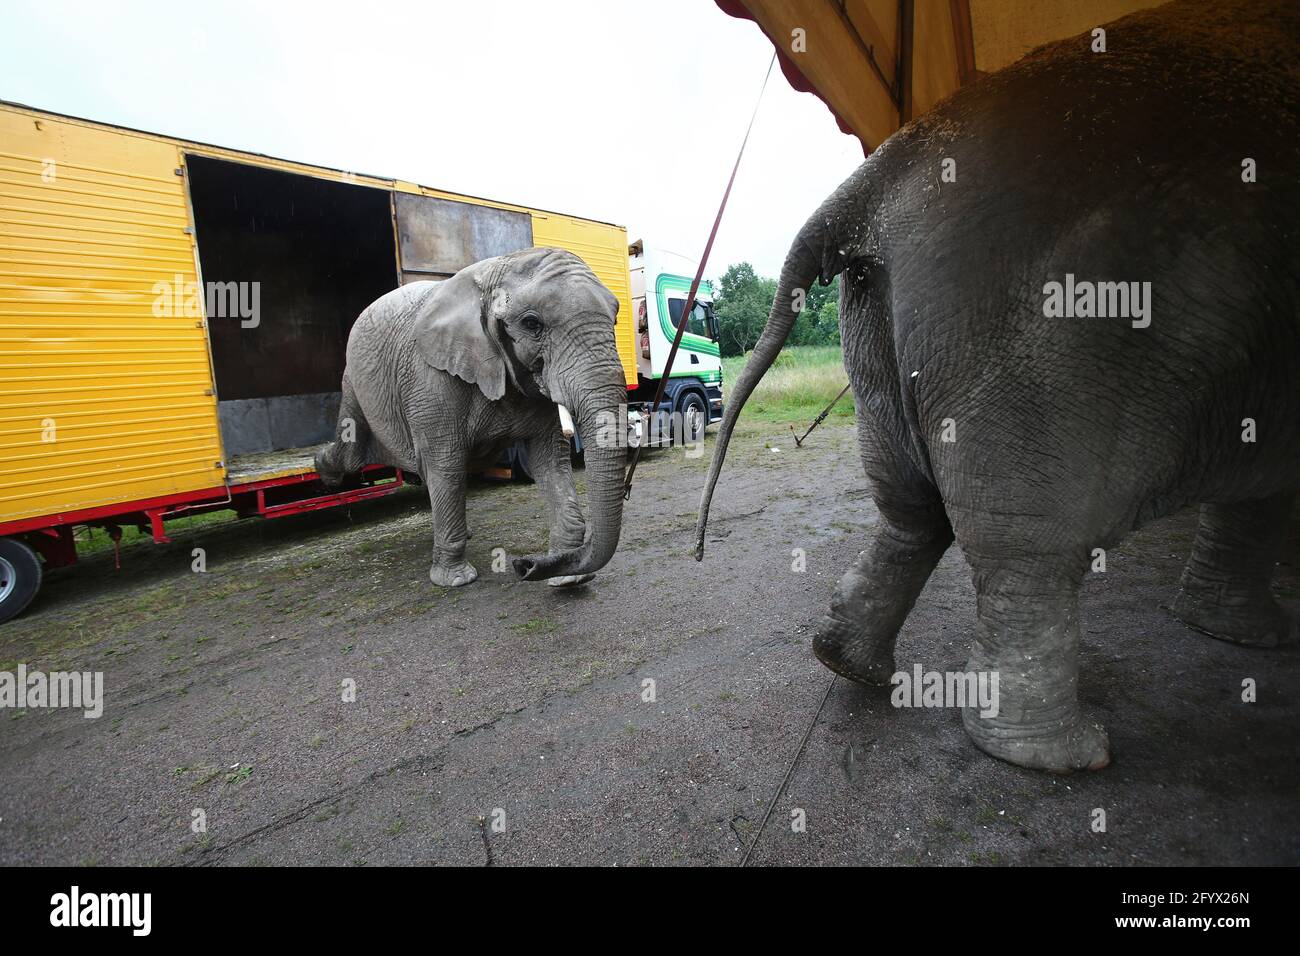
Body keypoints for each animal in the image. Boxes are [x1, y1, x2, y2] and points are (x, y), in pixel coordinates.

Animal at [316, 247, 626, 588]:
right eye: (532, 324)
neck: (496, 270)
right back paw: (322, 468)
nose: (523, 565)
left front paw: (568, 580)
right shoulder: (430, 378)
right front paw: (455, 580)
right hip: (353, 382)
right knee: (354, 450)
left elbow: (551, 465)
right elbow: (446, 463)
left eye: (615, 317)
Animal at [696, 0, 1299, 772]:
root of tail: (874, 182)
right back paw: (1063, 757)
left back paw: (847, 664)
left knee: (912, 512)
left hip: (880, 328)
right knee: (1026, 548)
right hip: (1038, 341)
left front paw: (1250, 637)